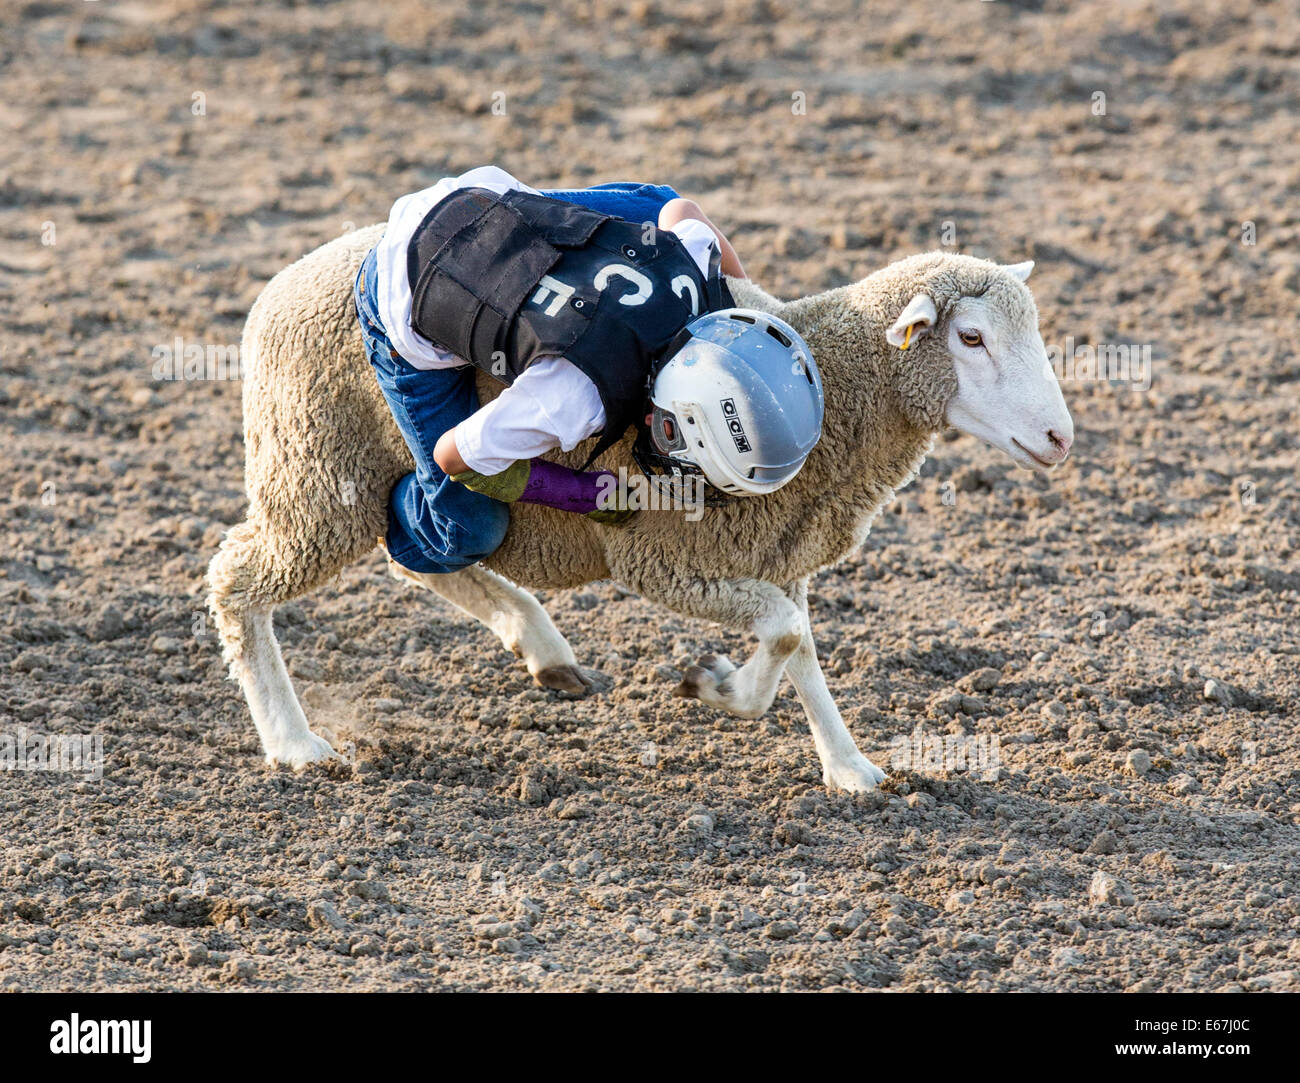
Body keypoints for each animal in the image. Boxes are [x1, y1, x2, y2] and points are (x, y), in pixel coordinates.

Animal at [207, 225, 1073, 792]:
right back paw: (293, 741)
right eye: (970, 338)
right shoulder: (667, 561)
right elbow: (783, 635)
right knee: (239, 579)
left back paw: (543, 648)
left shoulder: (777, 551)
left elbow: (799, 647)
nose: (1061, 437)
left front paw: (849, 765)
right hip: (315, 474)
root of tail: (274, 291)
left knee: (420, 548)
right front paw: (716, 686)